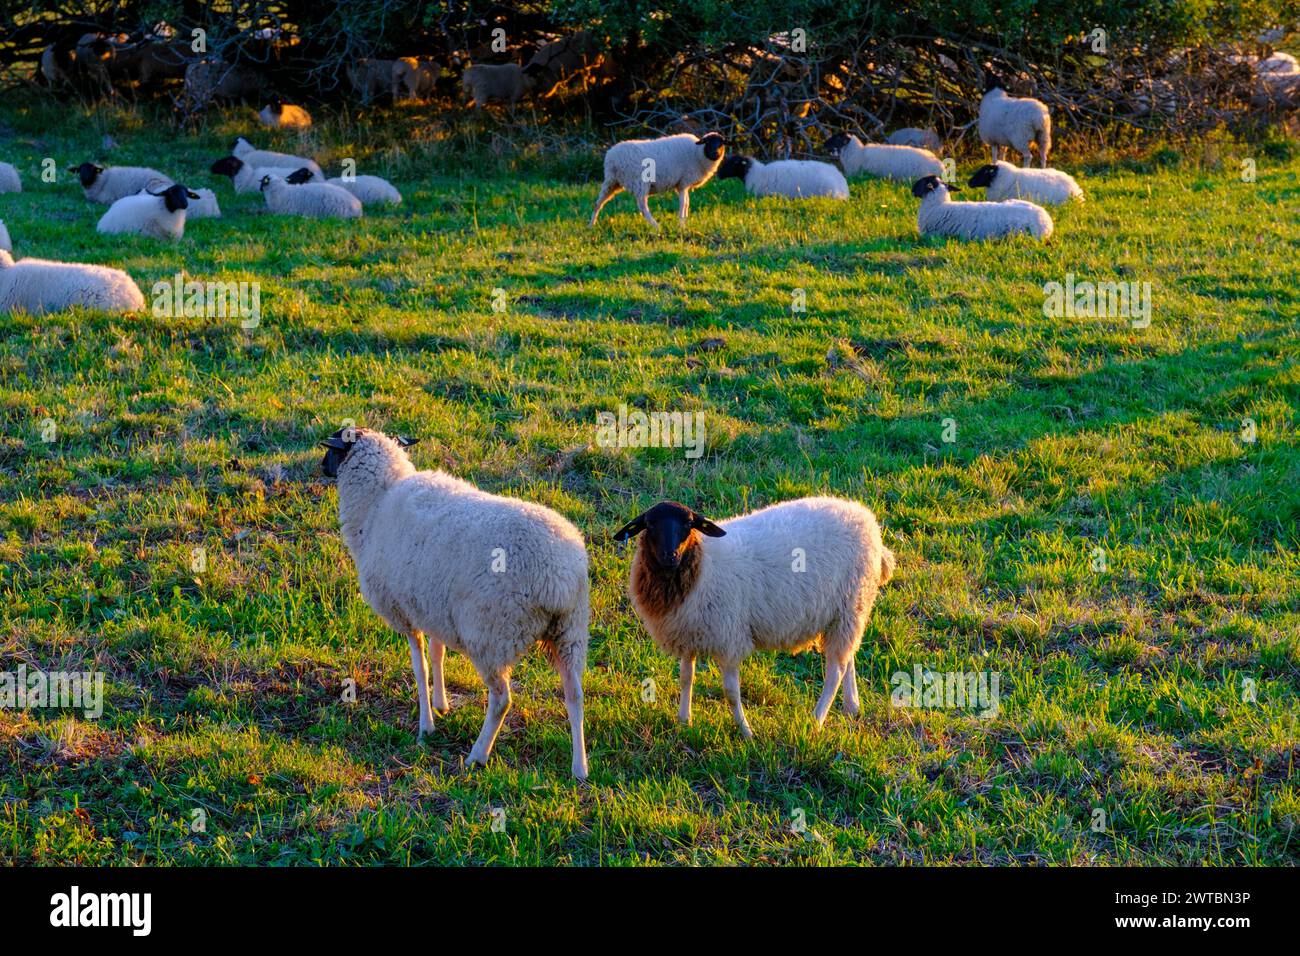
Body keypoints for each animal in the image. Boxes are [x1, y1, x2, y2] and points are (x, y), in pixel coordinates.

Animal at [319, 427, 590, 778]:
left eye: (333, 448)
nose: (322, 467)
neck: (377, 504)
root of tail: (559, 578)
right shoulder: (431, 607)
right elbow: (438, 655)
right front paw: (441, 704)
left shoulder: (404, 612)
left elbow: (419, 666)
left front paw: (426, 725)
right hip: (571, 632)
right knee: (575, 695)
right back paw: (579, 766)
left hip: (491, 634)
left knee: (502, 699)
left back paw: (478, 755)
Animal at [590, 132, 726, 230]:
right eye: (708, 142)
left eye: (720, 143)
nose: (715, 153)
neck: (697, 153)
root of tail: (611, 157)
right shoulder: (683, 182)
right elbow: (683, 204)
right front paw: (681, 224)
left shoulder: (683, 184)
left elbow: (687, 203)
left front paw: (684, 221)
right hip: (639, 183)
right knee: (643, 208)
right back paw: (656, 227)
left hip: (612, 182)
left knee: (598, 203)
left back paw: (591, 225)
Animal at [612, 498, 895, 735]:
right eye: (650, 525)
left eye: (688, 524)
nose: (670, 556)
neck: (701, 566)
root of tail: (866, 519)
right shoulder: (688, 631)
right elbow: (685, 678)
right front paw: (684, 721)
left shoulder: (728, 637)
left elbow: (730, 692)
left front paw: (745, 731)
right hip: (848, 610)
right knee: (848, 657)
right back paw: (851, 706)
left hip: (851, 603)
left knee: (836, 669)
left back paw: (816, 719)